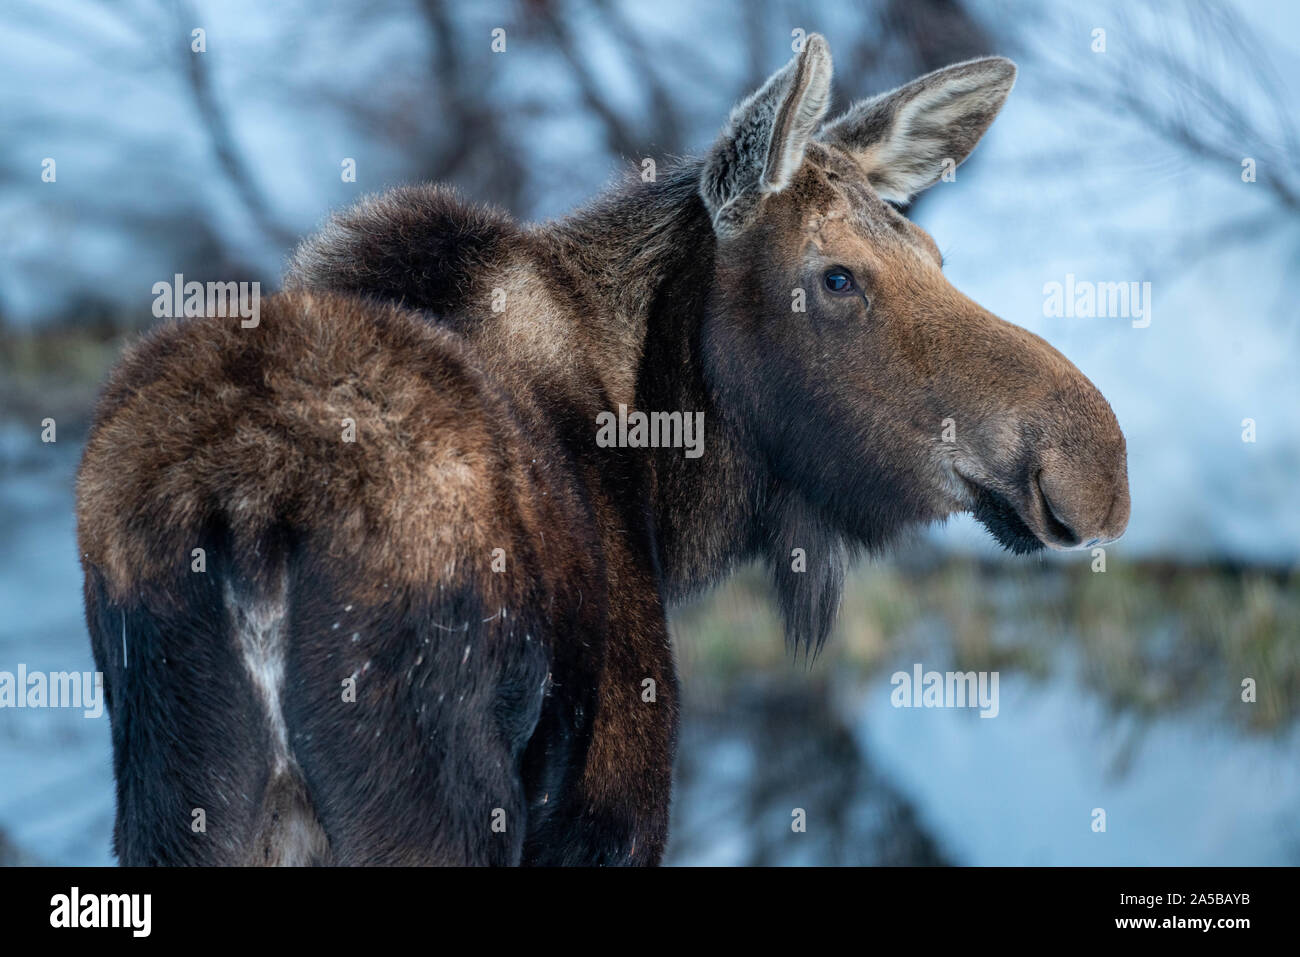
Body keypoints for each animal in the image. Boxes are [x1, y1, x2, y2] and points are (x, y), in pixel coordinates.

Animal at [76, 35, 1129, 866]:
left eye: (936, 256)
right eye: (836, 276)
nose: (1096, 463)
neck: (665, 474)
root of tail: (255, 509)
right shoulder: (611, 799)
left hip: (179, 808)